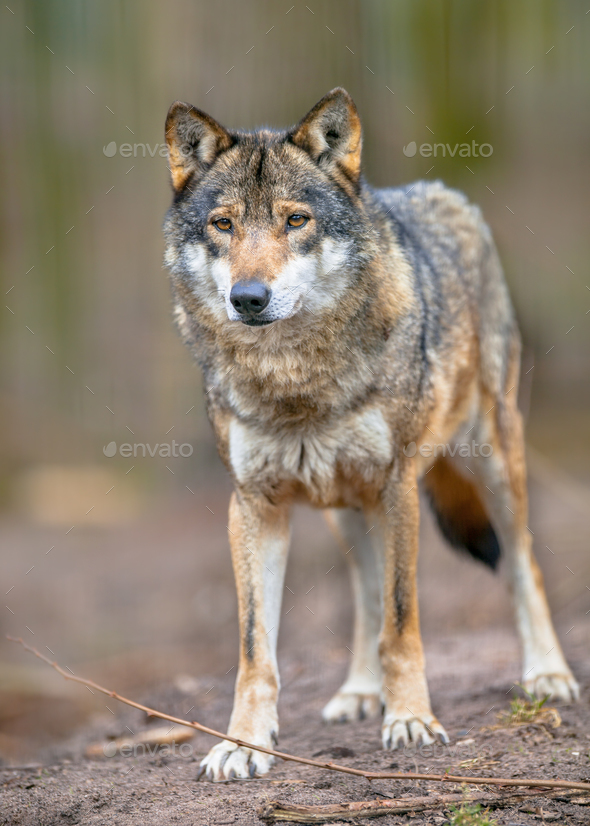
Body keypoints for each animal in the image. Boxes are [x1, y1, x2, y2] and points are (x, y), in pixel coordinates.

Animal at [163, 88, 579, 781]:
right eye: (223, 225)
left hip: (491, 462)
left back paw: (548, 674)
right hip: (347, 509)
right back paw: (359, 691)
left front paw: (410, 719)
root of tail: (440, 191)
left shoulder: (398, 485)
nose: (248, 297)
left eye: (295, 221)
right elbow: (255, 650)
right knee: (363, 592)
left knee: (524, 566)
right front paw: (243, 743)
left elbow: (402, 622)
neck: (295, 379)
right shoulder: (253, 506)